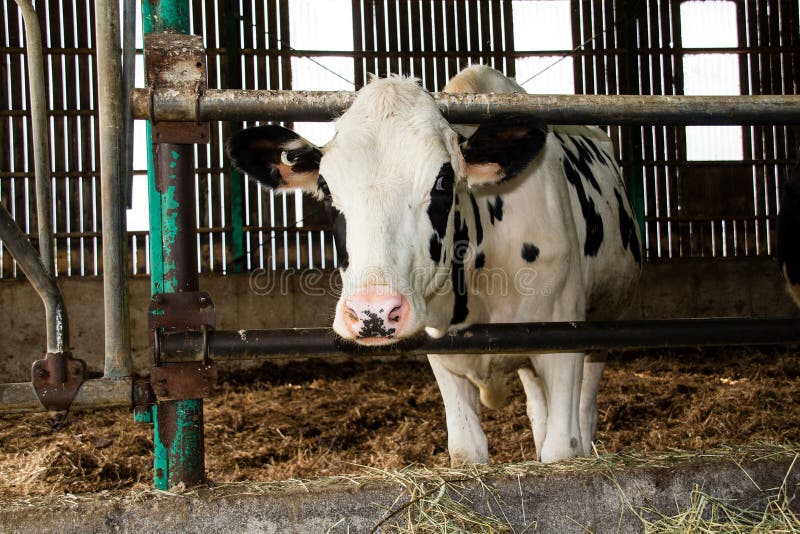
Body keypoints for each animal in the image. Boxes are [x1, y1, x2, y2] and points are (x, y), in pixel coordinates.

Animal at [227, 65, 642, 465]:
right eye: (327, 188)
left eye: (443, 181)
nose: (374, 313)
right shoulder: (443, 352)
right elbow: (467, 450)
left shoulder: (563, 340)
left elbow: (563, 449)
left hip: (604, 322)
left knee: (584, 412)